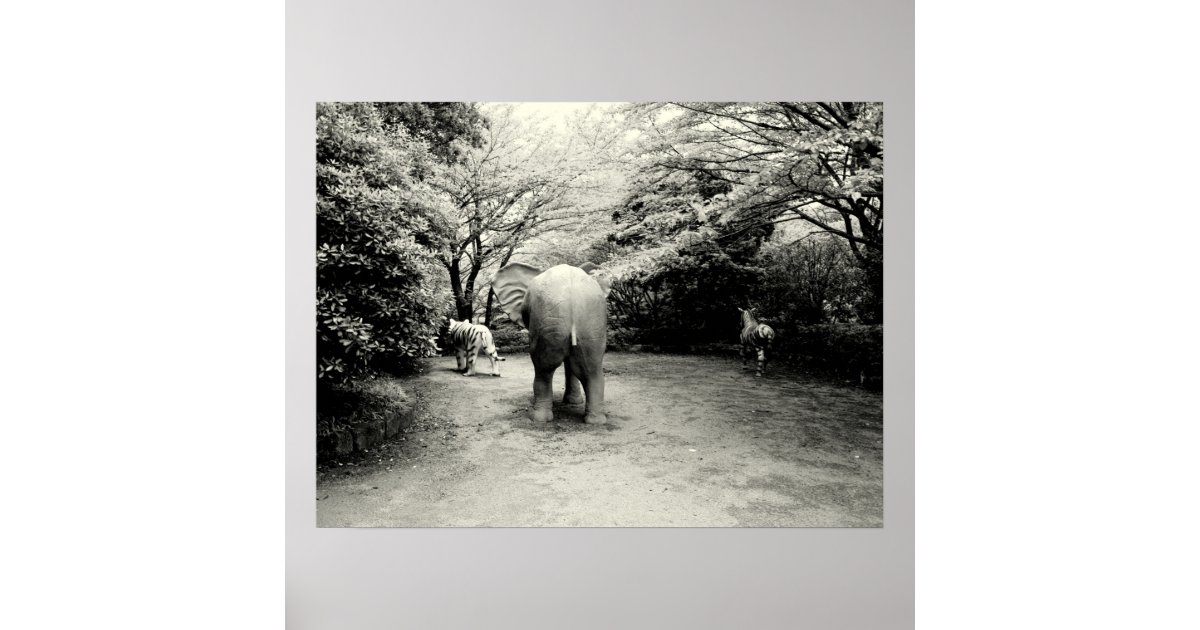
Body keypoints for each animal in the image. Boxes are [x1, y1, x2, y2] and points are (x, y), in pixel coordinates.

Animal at [493, 262, 612, 424]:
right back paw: (596, 421)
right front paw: (573, 402)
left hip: (548, 320)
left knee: (544, 368)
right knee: (590, 369)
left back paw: (537, 418)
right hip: (590, 322)